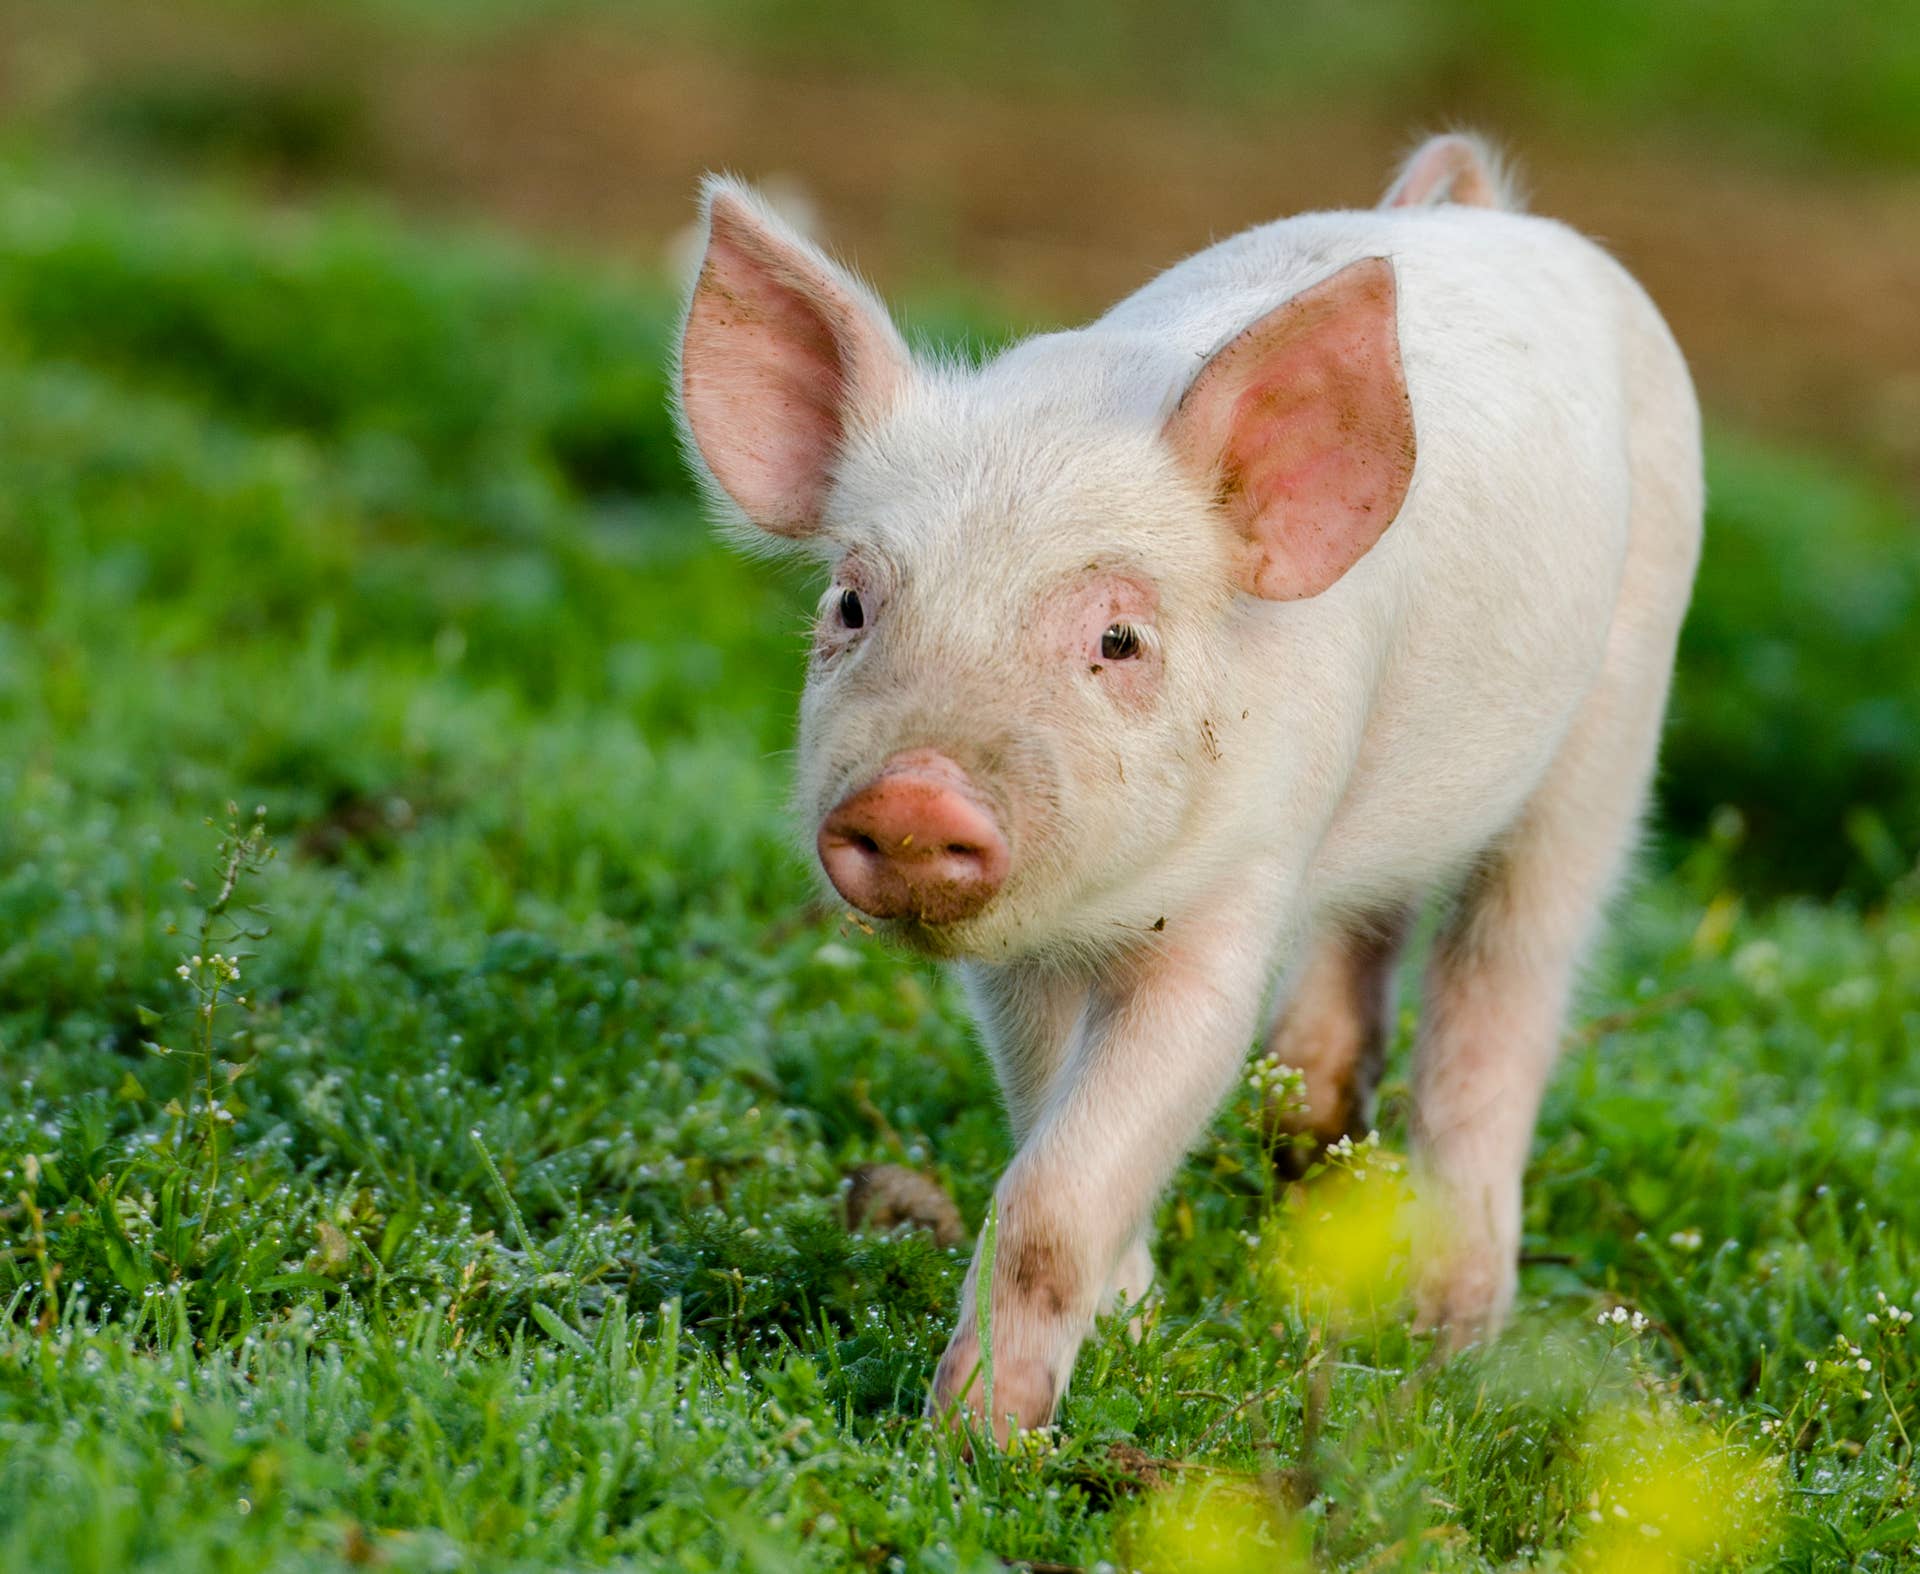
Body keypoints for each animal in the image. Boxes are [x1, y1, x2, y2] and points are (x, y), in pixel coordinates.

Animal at [673, 132, 1702, 1443]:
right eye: (851, 602)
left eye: (1119, 638)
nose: (912, 794)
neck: (1114, 903)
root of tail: (1497, 214)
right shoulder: (1022, 960)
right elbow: (1046, 1119)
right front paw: (1131, 1321)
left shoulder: (1235, 898)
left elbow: (1064, 1181)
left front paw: (979, 1440)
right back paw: (1306, 1130)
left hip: (1616, 717)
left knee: (1504, 980)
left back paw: (1448, 1338)